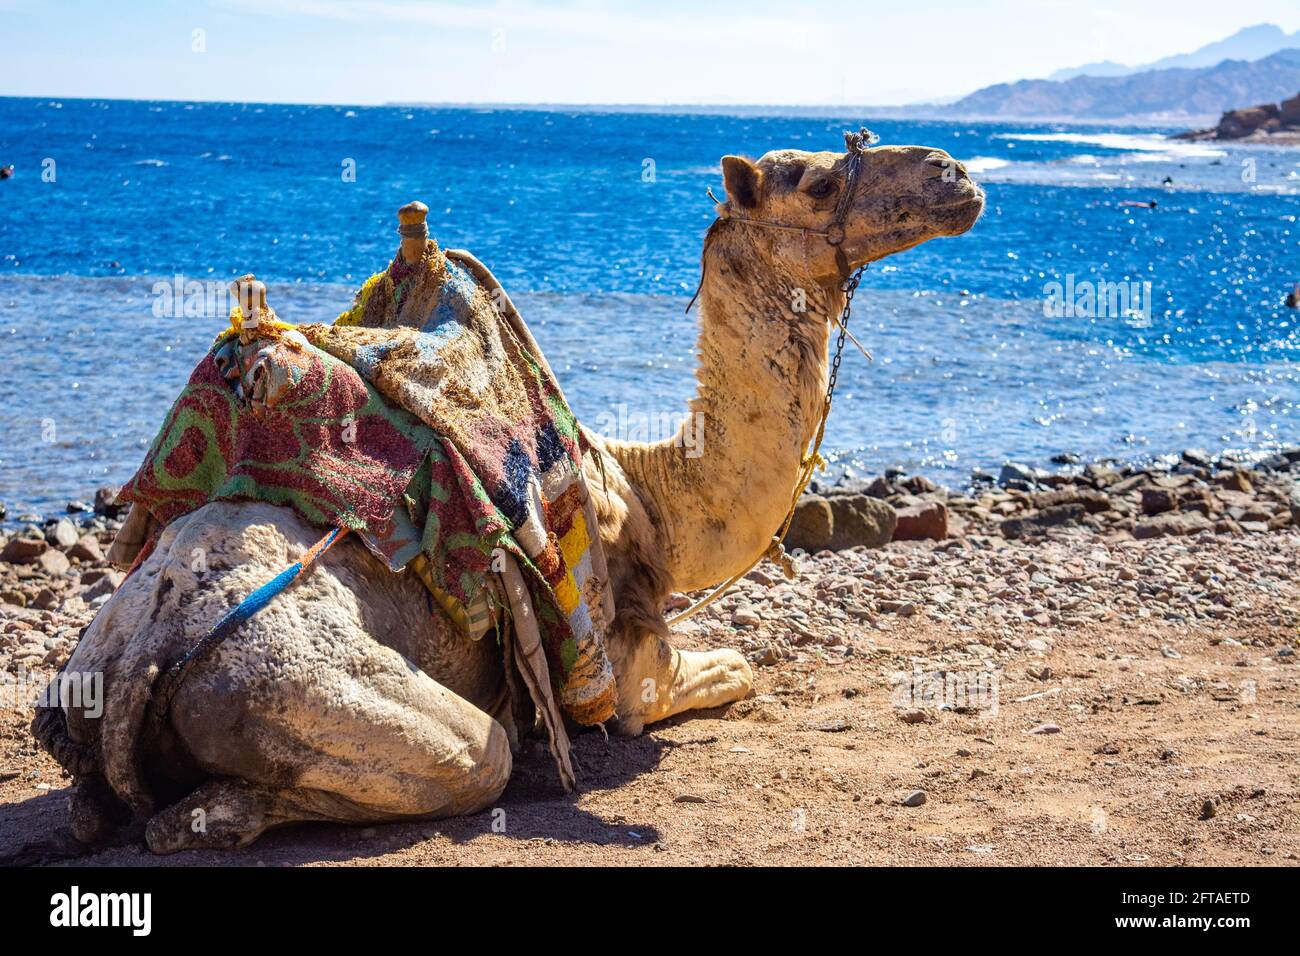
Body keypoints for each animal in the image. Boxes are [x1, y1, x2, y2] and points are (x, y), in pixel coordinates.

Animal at [35, 135, 983, 852]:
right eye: (818, 181)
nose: (954, 173)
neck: (650, 494)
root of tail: (140, 658)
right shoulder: (632, 666)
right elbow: (732, 669)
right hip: (293, 694)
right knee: (473, 756)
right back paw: (218, 811)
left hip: (85, 679)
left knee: (88, 804)